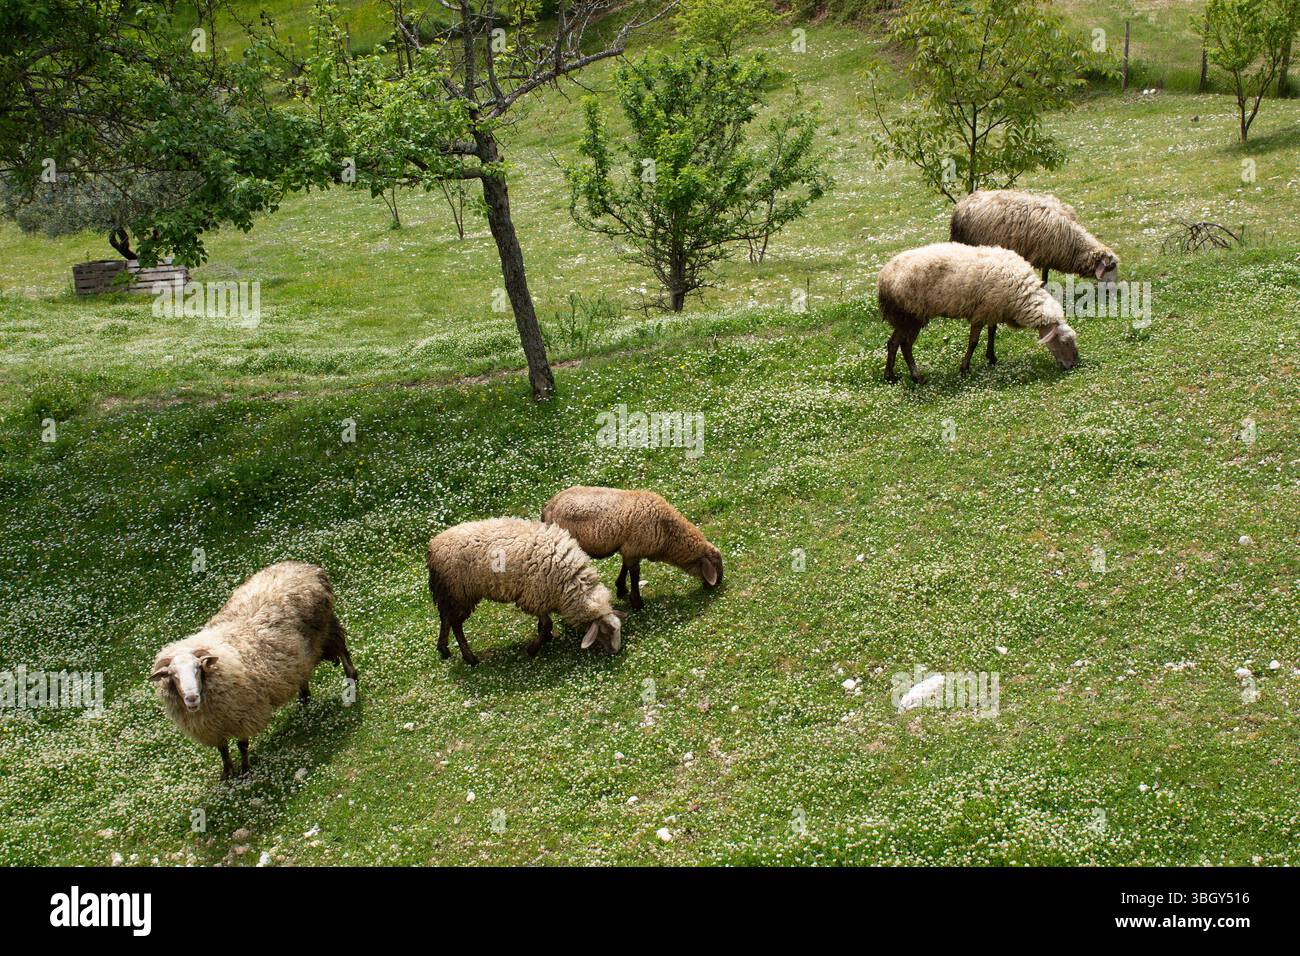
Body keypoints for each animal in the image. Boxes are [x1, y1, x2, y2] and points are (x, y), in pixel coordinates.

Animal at [151, 561, 358, 780]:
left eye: (198, 668)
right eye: (172, 675)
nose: (191, 698)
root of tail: (306, 567)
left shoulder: (244, 714)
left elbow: (242, 745)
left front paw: (245, 770)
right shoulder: (215, 726)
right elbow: (223, 750)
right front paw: (227, 773)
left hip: (325, 629)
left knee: (342, 649)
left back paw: (351, 678)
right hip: (301, 653)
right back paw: (303, 700)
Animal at [425, 518, 625, 664]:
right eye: (606, 632)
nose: (616, 651)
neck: (571, 583)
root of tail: (433, 547)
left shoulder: (542, 596)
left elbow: (544, 624)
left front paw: (544, 638)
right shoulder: (537, 594)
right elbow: (547, 624)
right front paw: (533, 648)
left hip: (450, 593)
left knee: (445, 619)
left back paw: (444, 650)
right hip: (460, 592)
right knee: (455, 624)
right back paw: (470, 658)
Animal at [541, 486, 723, 610]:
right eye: (716, 565)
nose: (717, 584)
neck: (668, 532)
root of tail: (549, 507)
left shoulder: (629, 549)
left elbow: (625, 568)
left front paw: (621, 588)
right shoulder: (633, 549)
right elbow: (635, 575)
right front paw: (637, 603)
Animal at [876, 242, 1079, 382]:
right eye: (1065, 342)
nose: (1073, 365)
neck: (1022, 295)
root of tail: (883, 278)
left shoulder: (993, 310)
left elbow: (992, 332)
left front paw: (991, 357)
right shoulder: (981, 312)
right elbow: (973, 342)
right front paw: (965, 368)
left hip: (904, 317)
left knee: (892, 343)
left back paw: (890, 376)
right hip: (911, 315)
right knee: (905, 345)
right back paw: (916, 377)